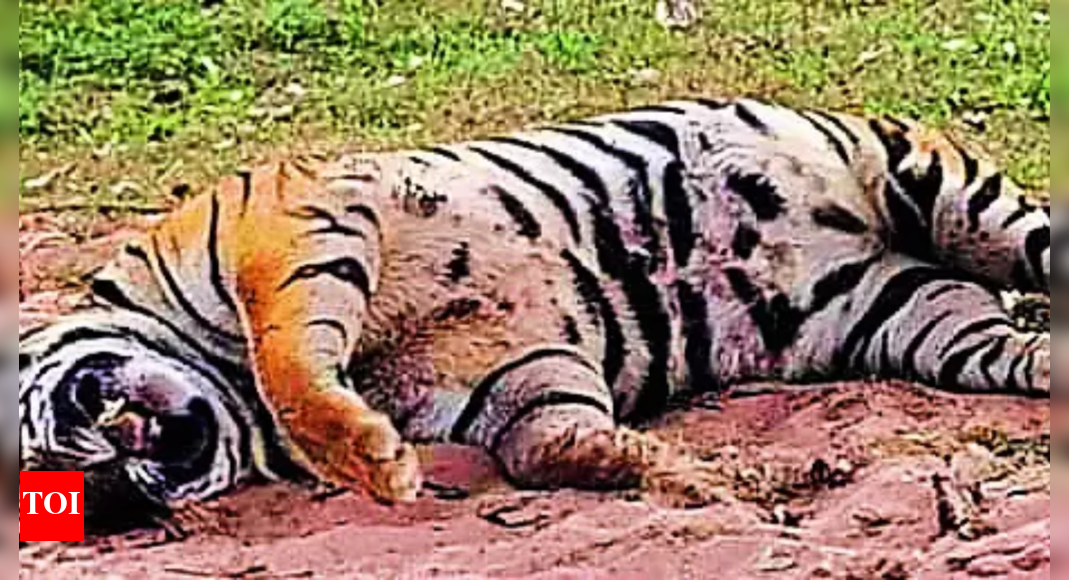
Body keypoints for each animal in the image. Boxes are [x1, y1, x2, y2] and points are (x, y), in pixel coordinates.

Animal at [18, 97, 1050, 520]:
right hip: (919, 321)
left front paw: (372, 466)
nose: (124, 460)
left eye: (75, 411)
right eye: (91, 493)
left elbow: (292, 365)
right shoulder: (507, 376)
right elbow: (553, 446)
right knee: (1016, 348)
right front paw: (707, 483)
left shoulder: (288, 226)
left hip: (937, 186)